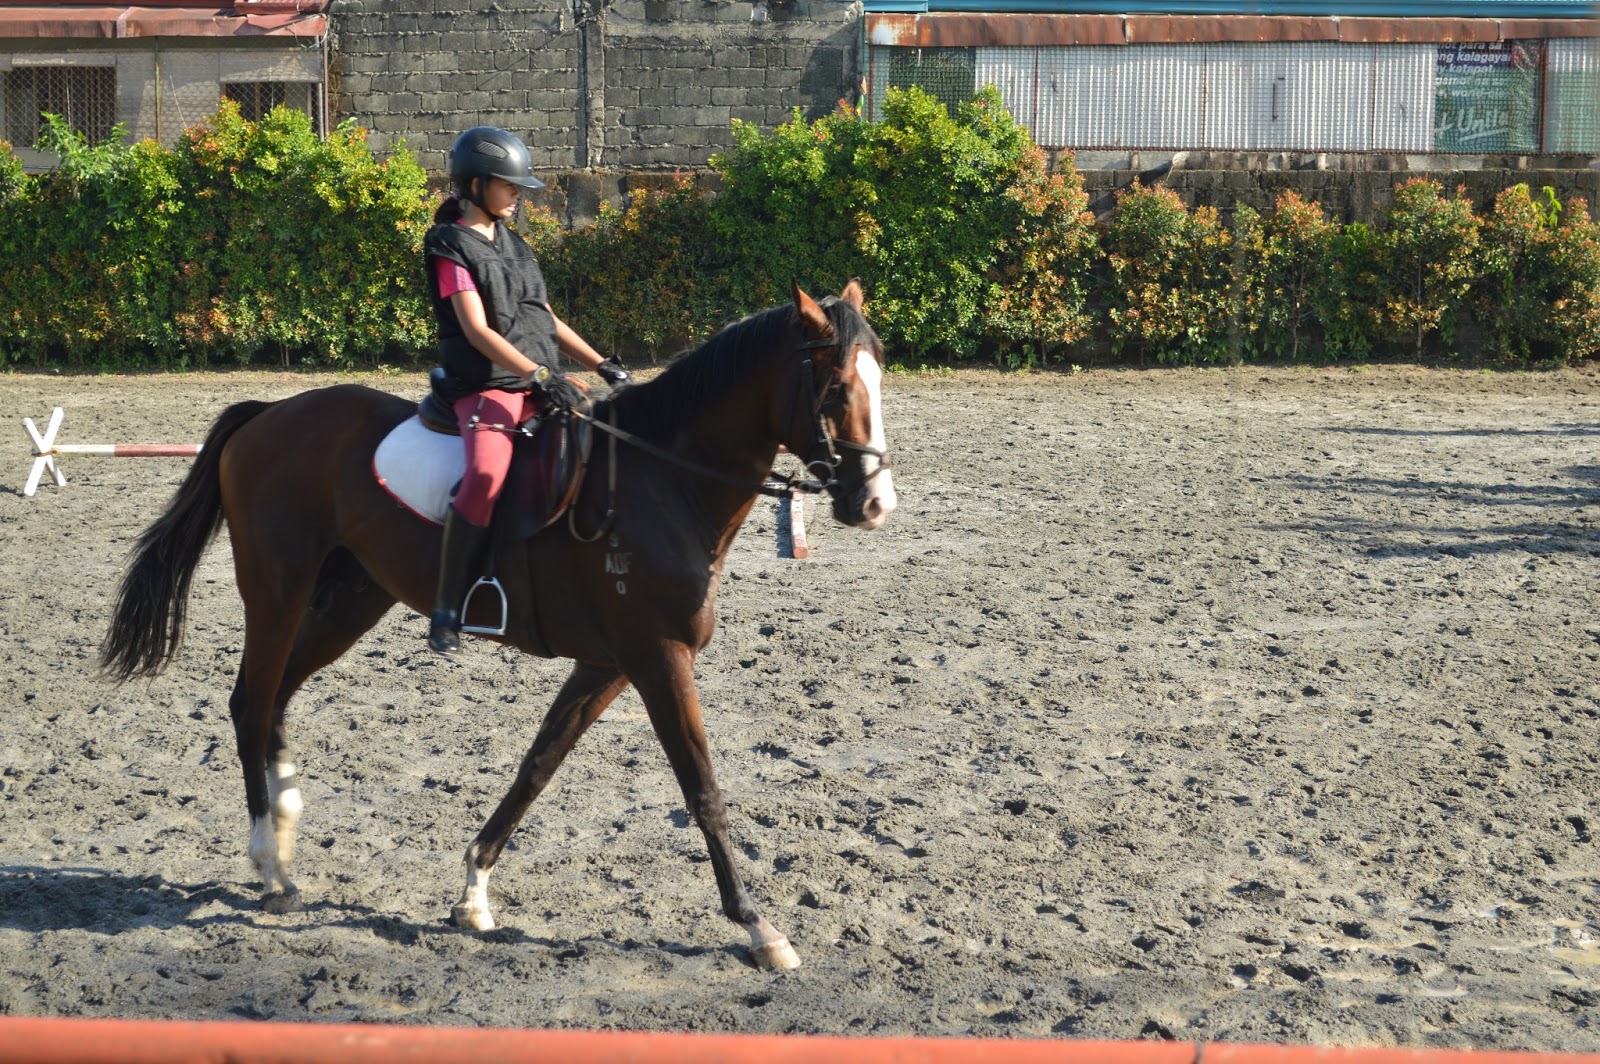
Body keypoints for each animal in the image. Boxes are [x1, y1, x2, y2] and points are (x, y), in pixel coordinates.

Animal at [100, 281, 896, 971]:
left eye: (877, 378)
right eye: (833, 388)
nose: (874, 503)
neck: (663, 483)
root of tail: (268, 415)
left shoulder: (607, 665)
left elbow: (537, 765)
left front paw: (475, 890)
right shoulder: (657, 657)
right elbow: (702, 789)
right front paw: (759, 928)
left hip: (353, 600)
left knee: (279, 697)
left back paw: (287, 829)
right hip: (277, 592)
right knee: (252, 700)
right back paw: (269, 864)